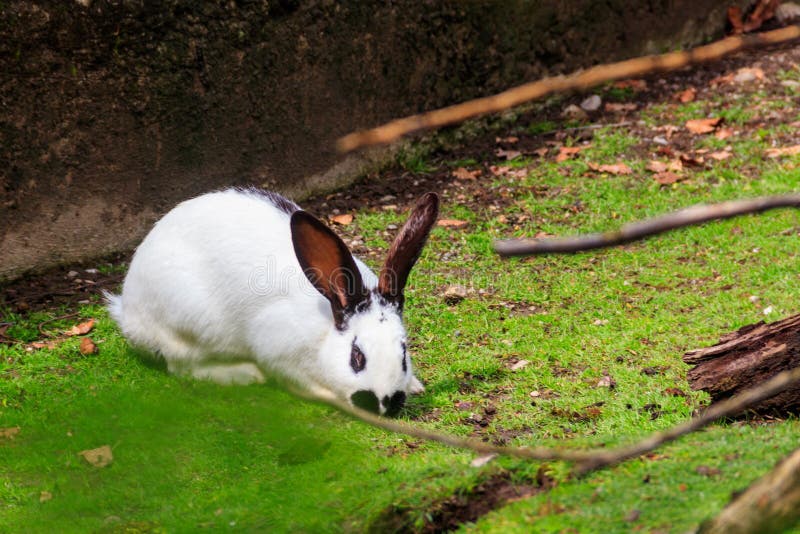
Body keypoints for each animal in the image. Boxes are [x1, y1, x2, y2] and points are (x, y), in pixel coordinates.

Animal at [106, 187, 439, 416]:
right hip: (190, 324)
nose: (384, 403)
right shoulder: (277, 349)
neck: (325, 332)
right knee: (182, 366)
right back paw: (244, 374)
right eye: (357, 357)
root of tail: (128, 311)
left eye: (404, 354)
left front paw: (414, 384)